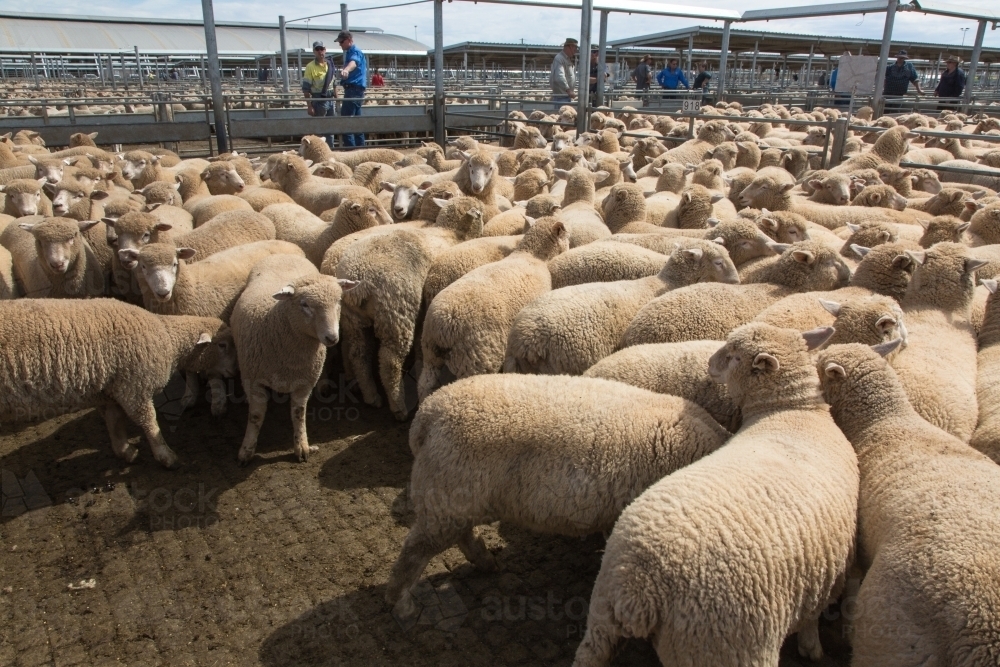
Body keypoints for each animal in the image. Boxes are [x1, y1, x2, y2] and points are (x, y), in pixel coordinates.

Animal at [0, 298, 230, 468]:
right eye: (222, 345)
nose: (234, 371)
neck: (167, 337)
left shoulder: (110, 390)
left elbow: (114, 421)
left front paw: (125, 451)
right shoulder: (134, 388)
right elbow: (149, 422)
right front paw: (166, 456)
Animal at [232, 253, 357, 464]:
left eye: (339, 301)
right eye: (304, 305)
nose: (332, 338)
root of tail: (282, 254)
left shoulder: (304, 382)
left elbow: (298, 413)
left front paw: (302, 447)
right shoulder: (252, 380)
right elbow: (256, 416)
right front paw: (246, 450)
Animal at [334, 198, 486, 420]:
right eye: (481, 214)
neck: (451, 233)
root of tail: (358, 278)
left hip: (352, 318)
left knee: (357, 354)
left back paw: (371, 396)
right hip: (396, 314)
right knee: (390, 362)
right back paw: (399, 407)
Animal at [385, 373, 730, 616]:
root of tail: (426, 416)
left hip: (455, 499)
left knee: (461, 534)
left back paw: (485, 562)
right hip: (446, 496)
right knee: (415, 552)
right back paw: (401, 605)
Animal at [573, 324, 857, 667]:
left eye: (734, 356)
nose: (709, 363)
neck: (792, 414)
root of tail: (639, 584)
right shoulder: (828, 574)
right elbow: (813, 618)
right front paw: (812, 647)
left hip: (603, 612)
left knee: (590, 651)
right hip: (720, 645)